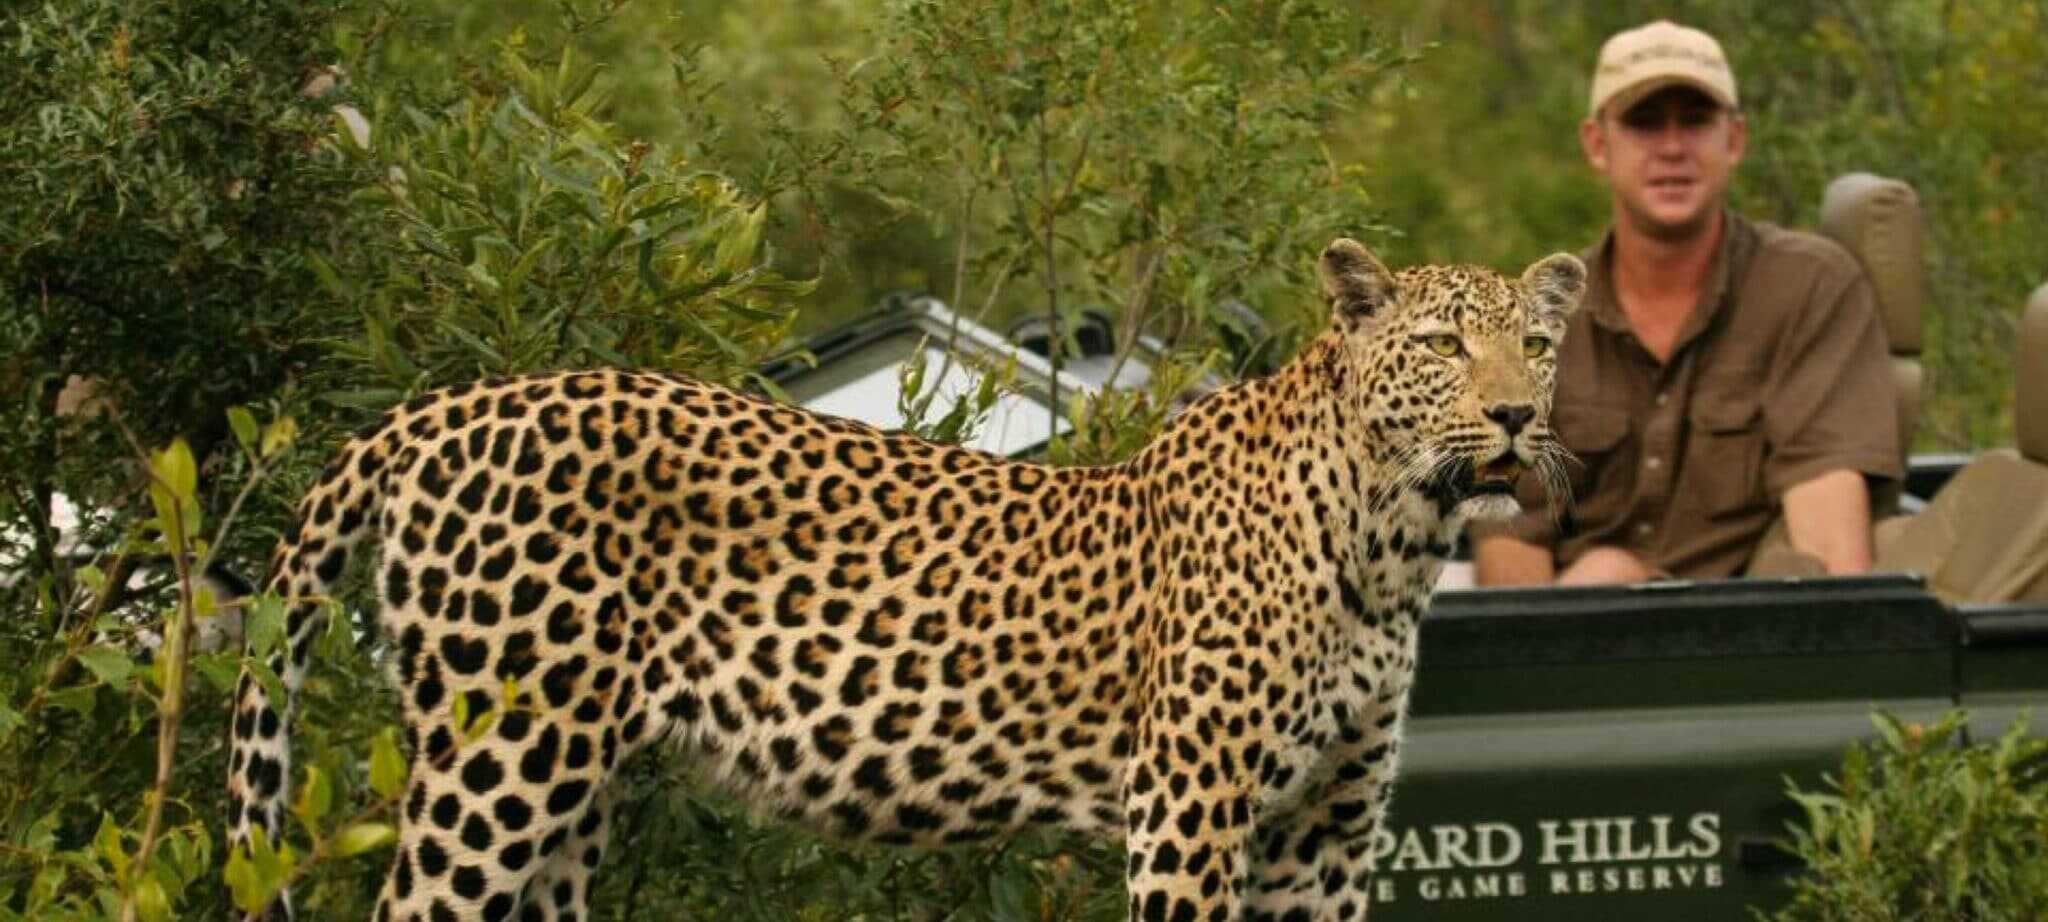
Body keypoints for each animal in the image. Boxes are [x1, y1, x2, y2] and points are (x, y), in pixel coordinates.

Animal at [225, 237, 1586, 922]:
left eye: (1533, 343)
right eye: (1440, 343)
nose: (1515, 416)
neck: (1390, 543)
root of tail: (439, 406)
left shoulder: (1329, 834)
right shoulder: (1190, 809)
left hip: (567, 790)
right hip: (494, 758)